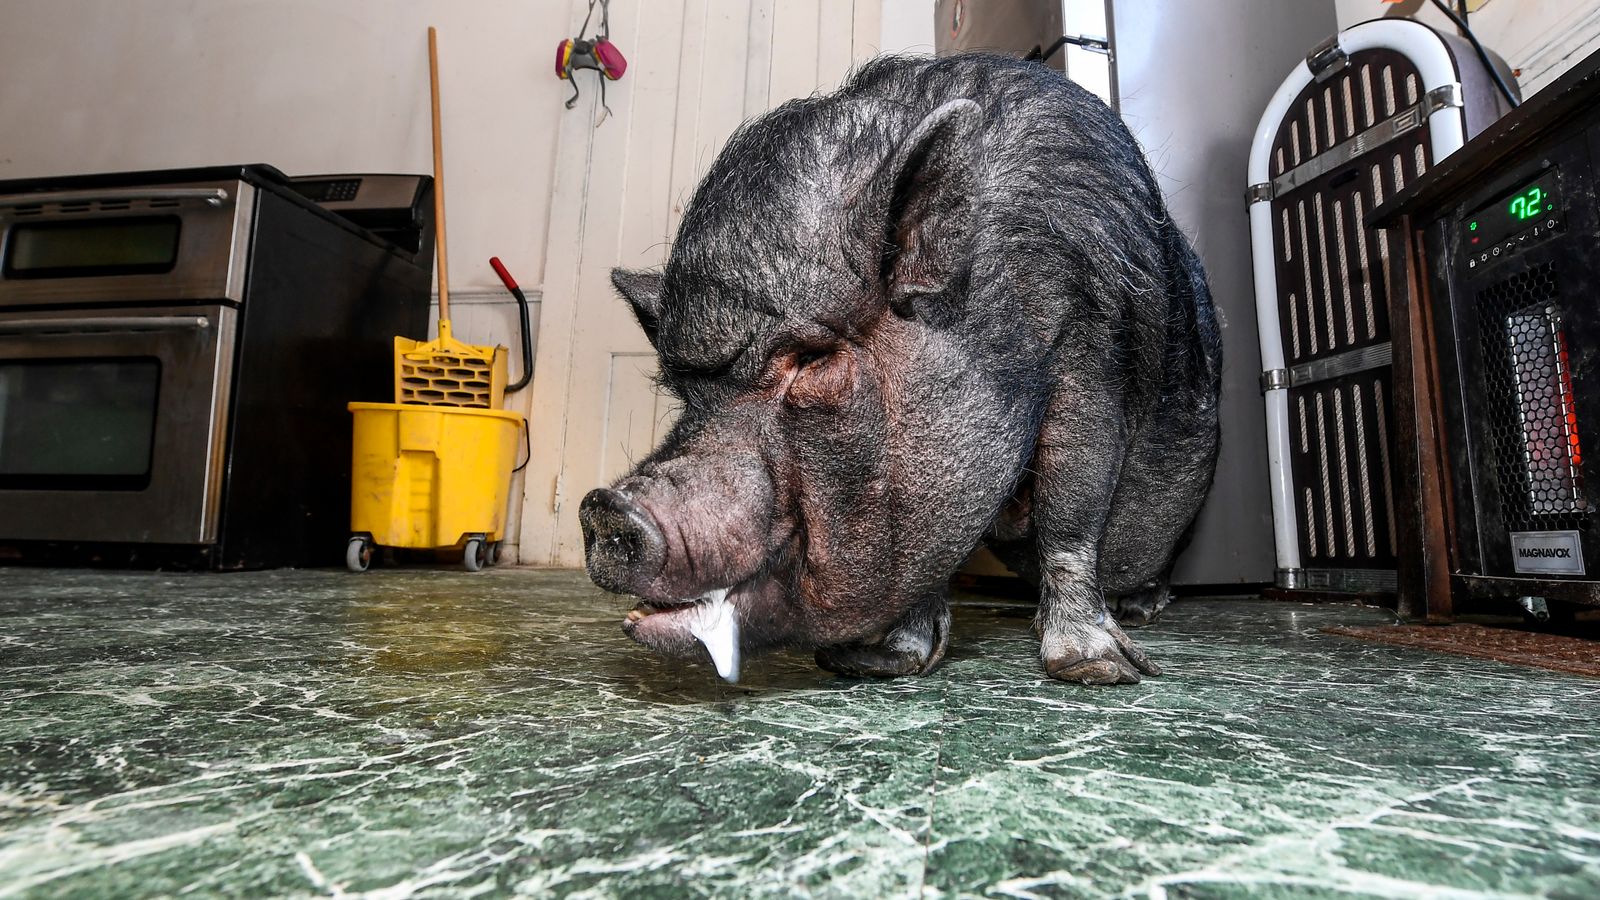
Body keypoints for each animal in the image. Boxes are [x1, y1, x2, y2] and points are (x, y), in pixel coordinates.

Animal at [579, 53, 1220, 686]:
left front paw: (1102, 670)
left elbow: (1072, 508)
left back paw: (1143, 607)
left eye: (812, 358)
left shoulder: (1087, 350)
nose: (604, 507)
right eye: (684, 391)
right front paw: (869, 663)